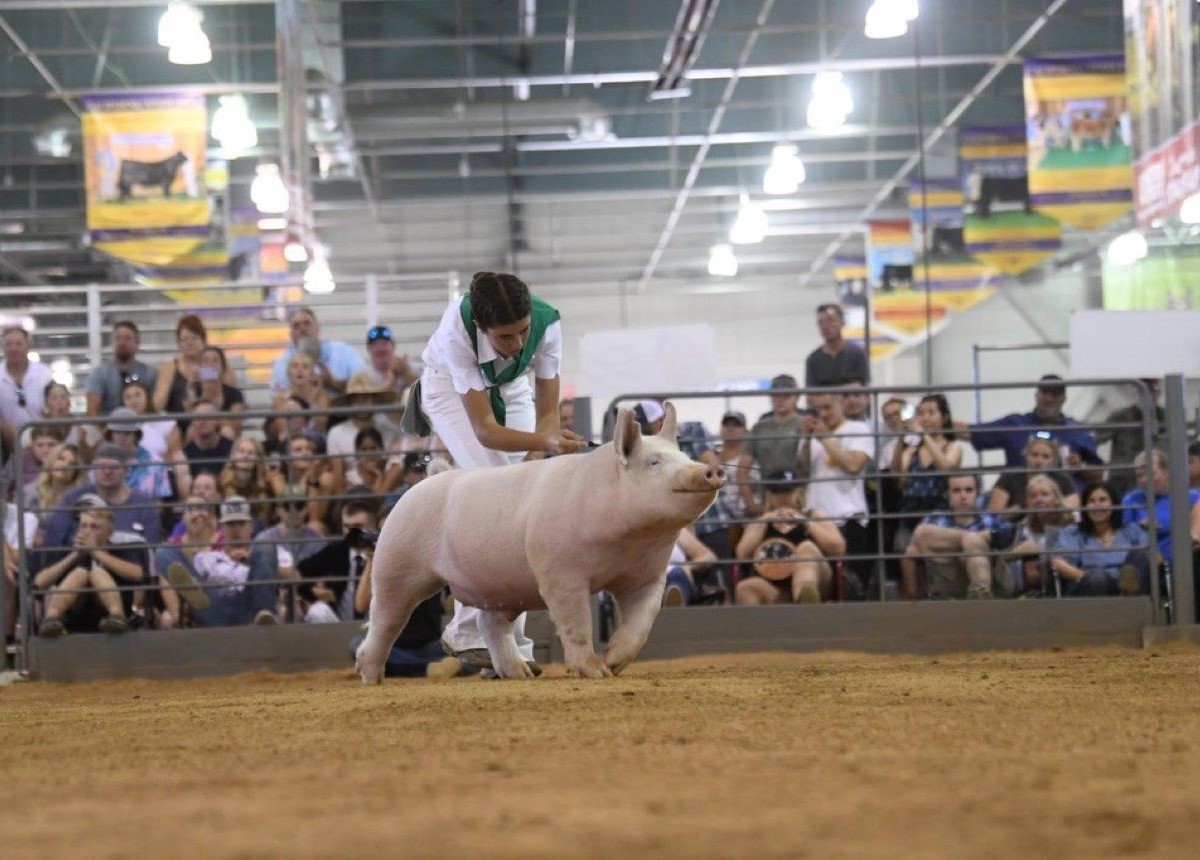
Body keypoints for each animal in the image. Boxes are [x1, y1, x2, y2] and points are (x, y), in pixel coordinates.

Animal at [355, 402, 725, 683]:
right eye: (654, 462)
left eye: (684, 457)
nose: (711, 469)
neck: (626, 542)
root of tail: (429, 480)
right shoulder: (559, 571)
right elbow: (576, 622)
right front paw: (595, 672)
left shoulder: (648, 575)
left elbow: (641, 623)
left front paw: (614, 663)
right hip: (396, 562)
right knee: (386, 619)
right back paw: (371, 677)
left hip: (497, 585)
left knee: (489, 624)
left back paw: (521, 673)